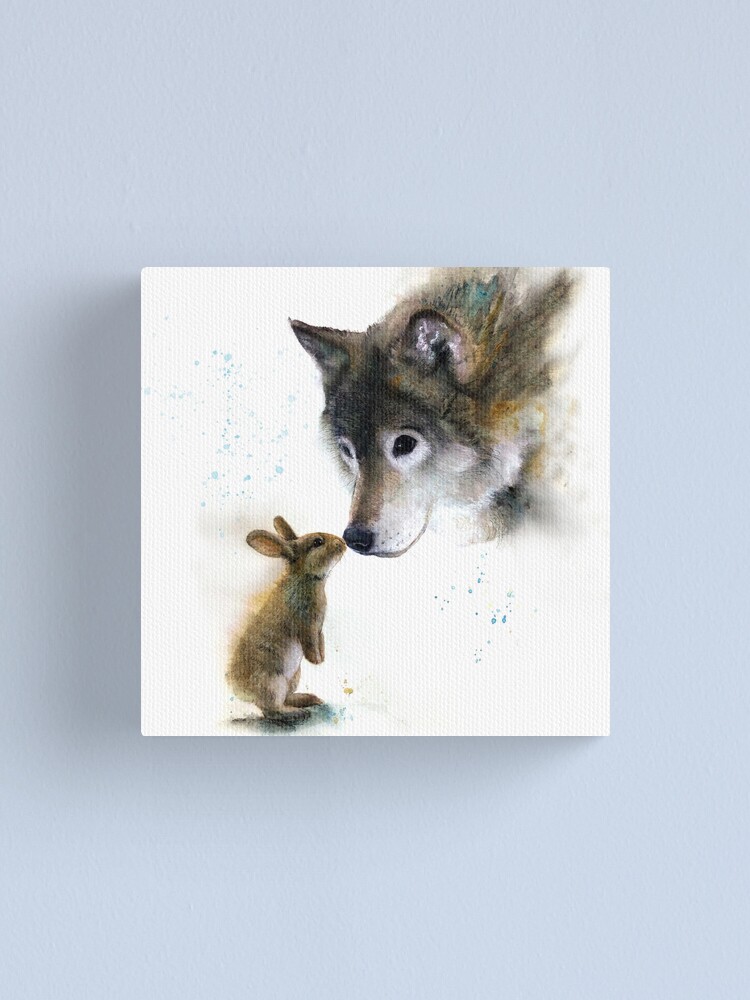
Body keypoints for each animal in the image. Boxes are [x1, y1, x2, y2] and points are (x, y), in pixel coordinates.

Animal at [227, 516, 346, 721]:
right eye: (318, 542)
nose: (343, 543)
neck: (306, 577)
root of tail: (240, 691)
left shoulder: (318, 628)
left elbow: (320, 640)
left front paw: (321, 659)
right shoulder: (305, 625)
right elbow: (310, 642)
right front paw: (316, 660)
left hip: (293, 677)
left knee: (284, 699)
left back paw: (310, 699)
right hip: (272, 681)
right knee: (271, 709)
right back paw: (296, 712)